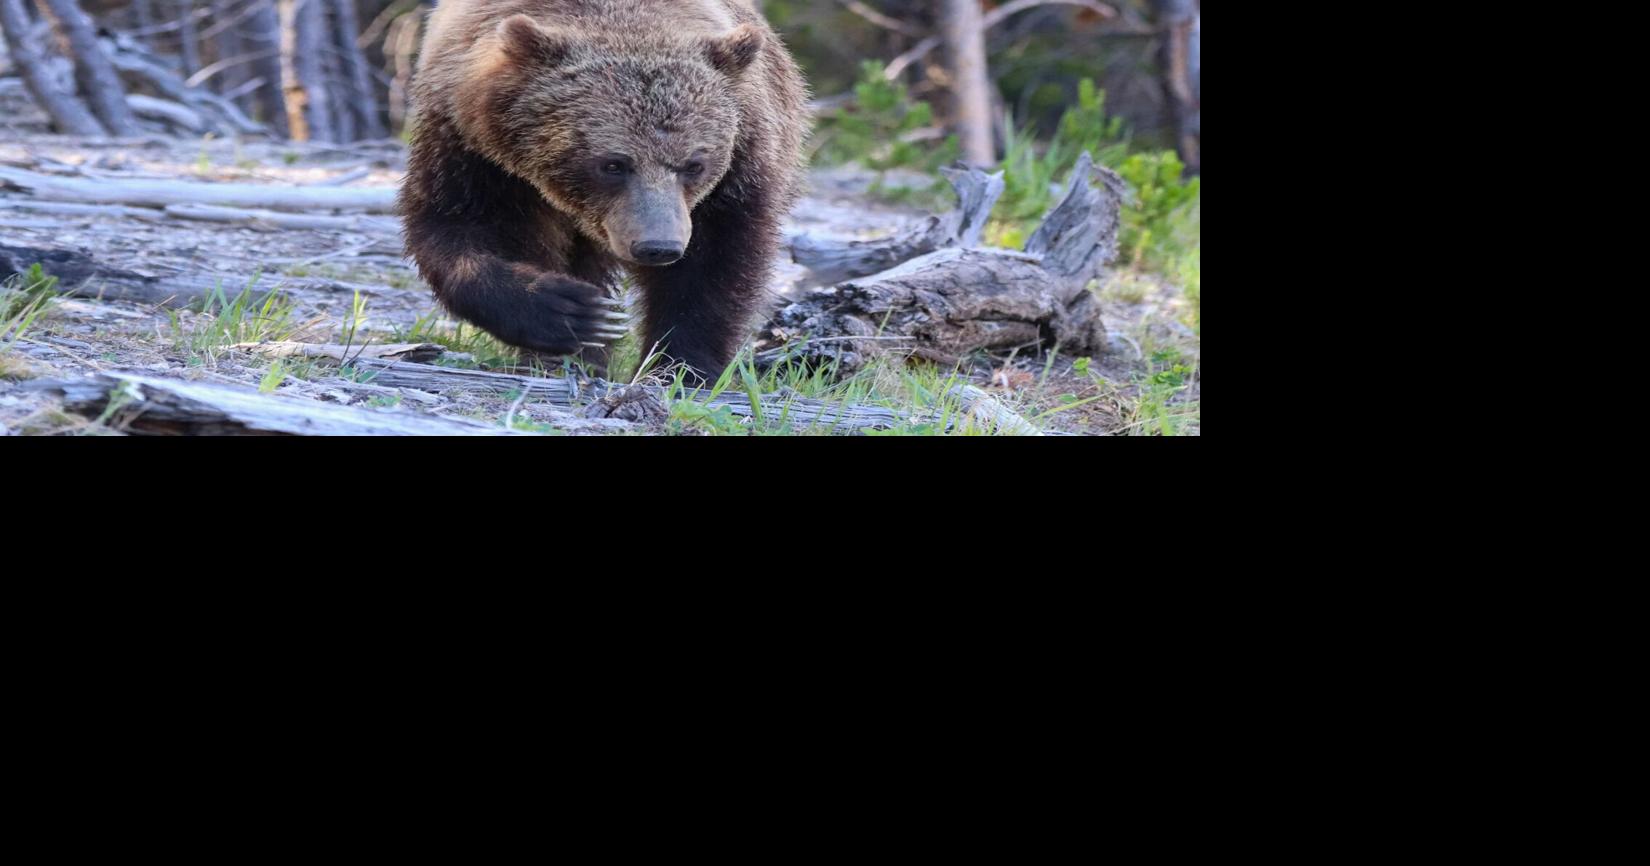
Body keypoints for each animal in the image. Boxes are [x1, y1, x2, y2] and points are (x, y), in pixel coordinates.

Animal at [398, 0, 809, 380]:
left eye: (694, 164)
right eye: (613, 164)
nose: (658, 247)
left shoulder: (739, 165)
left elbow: (714, 264)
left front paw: (680, 366)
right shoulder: (474, 152)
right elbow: (461, 227)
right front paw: (571, 312)